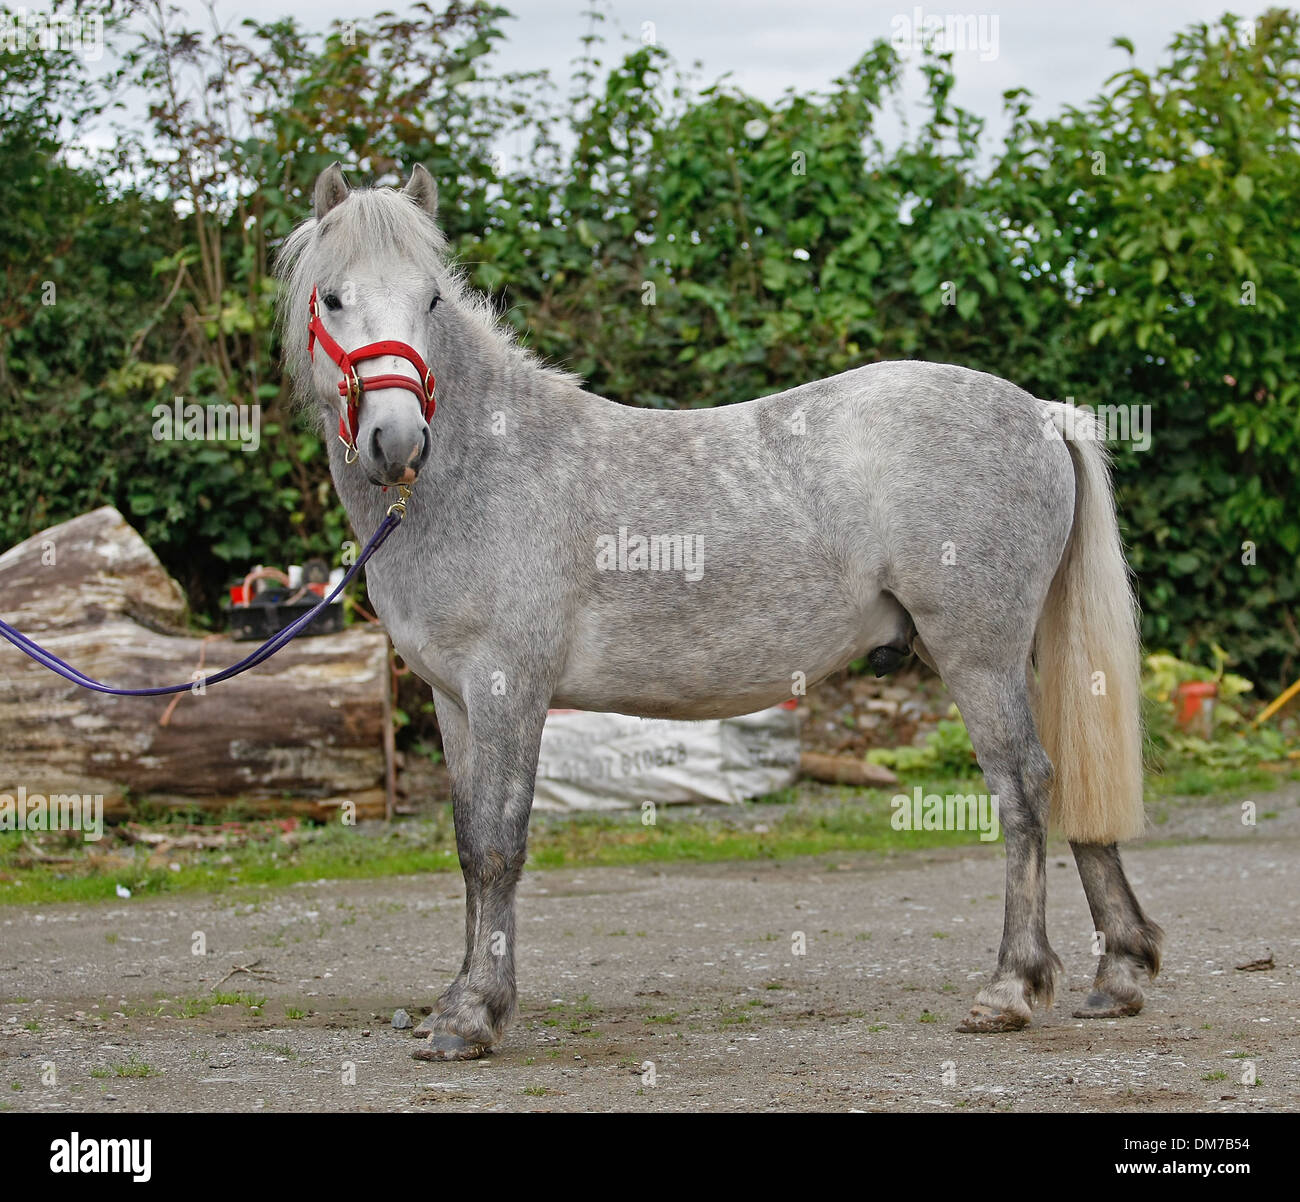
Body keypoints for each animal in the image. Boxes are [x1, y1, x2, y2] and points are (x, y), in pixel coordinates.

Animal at [276, 163, 1164, 1061]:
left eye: (430, 300)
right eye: (333, 299)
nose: (397, 442)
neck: (482, 469)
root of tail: (1043, 415)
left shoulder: (507, 691)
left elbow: (499, 845)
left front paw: (474, 1015)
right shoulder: (455, 699)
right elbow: (466, 844)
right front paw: (456, 1001)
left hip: (977, 656)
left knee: (1023, 786)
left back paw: (1011, 987)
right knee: (1069, 780)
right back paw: (1119, 972)